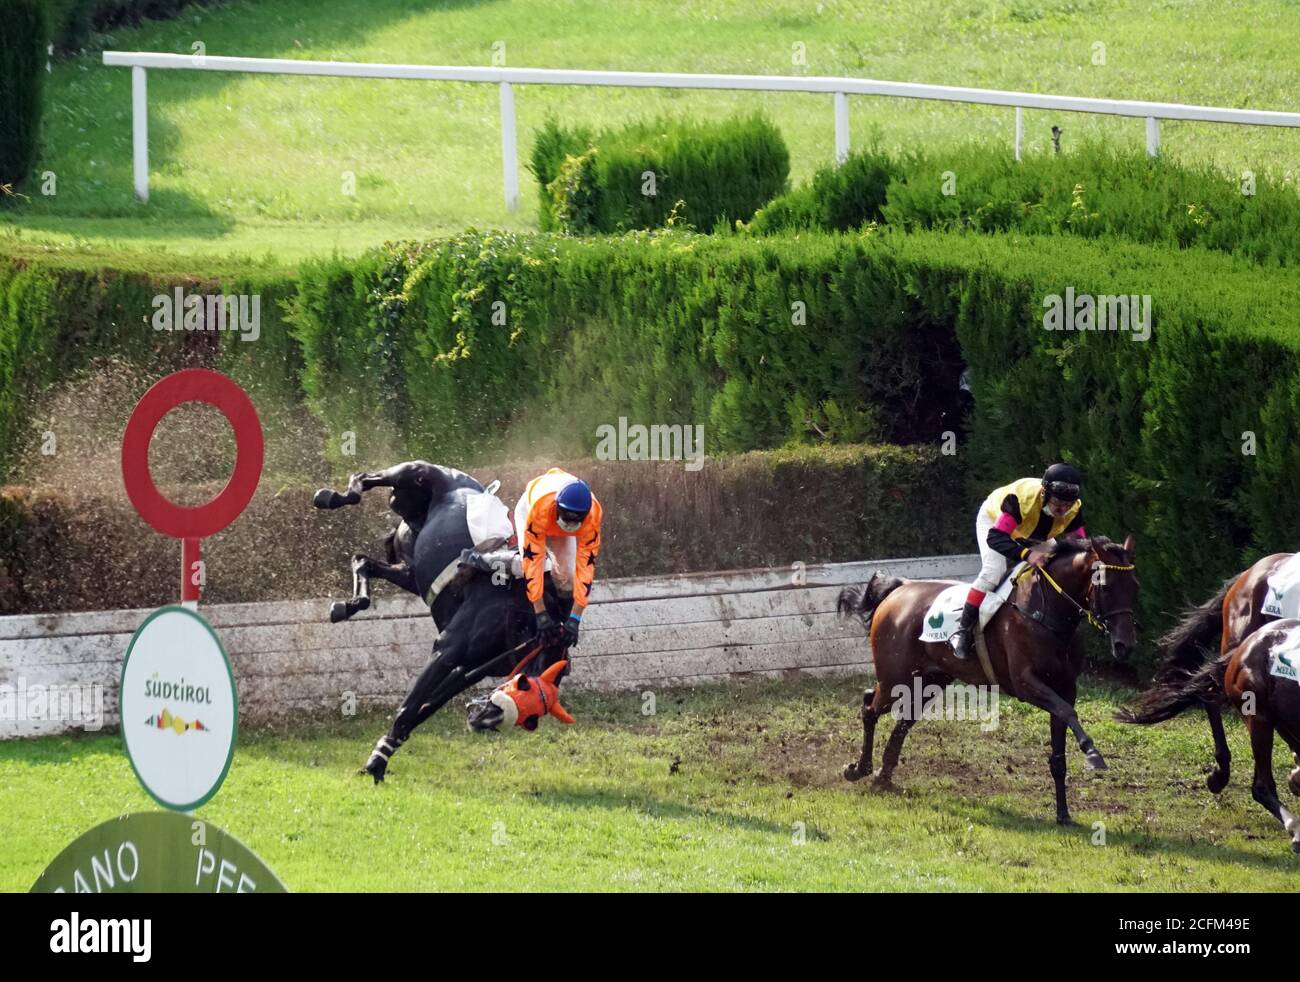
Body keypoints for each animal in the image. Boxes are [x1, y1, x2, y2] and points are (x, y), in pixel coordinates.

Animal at [837, 533, 1133, 827]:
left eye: (1135, 586)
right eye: (1107, 588)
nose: (1124, 645)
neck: (1046, 613)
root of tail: (900, 588)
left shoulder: (1066, 687)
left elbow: (1061, 741)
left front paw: (1063, 814)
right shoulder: (1026, 684)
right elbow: (1067, 712)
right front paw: (1093, 753)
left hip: (930, 680)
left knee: (902, 721)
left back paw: (882, 776)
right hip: (895, 678)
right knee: (870, 707)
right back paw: (859, 769)